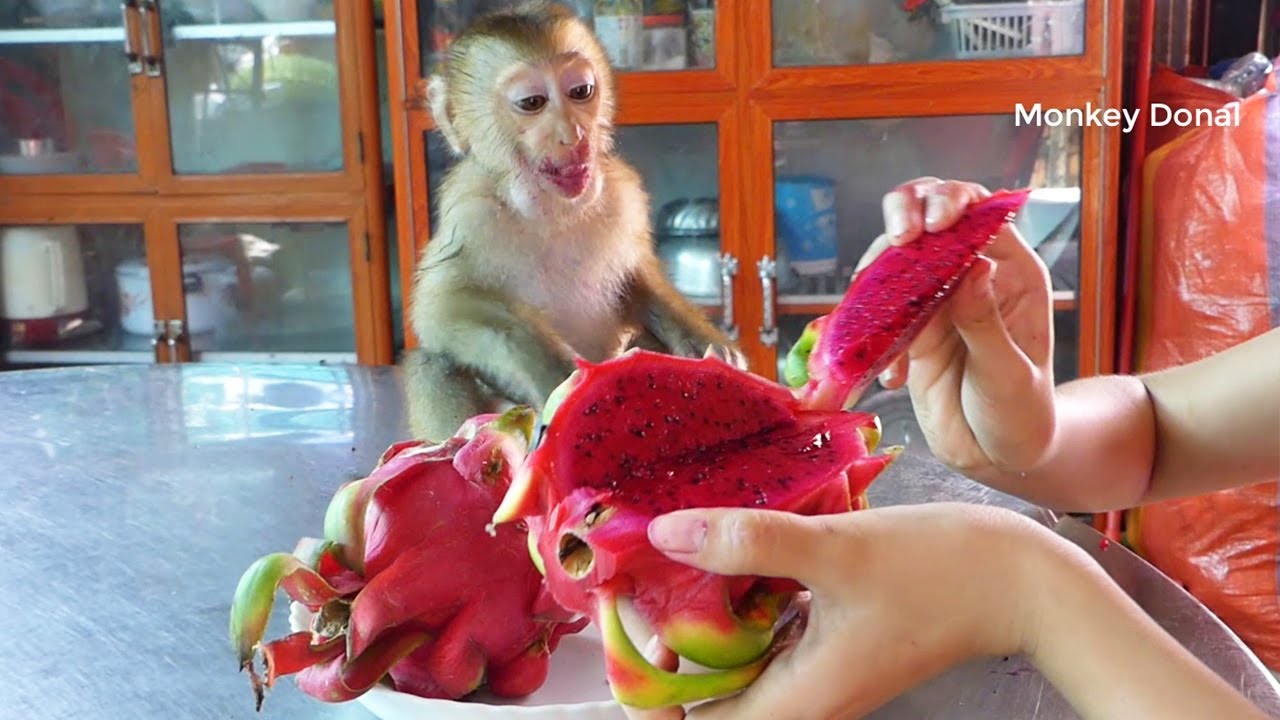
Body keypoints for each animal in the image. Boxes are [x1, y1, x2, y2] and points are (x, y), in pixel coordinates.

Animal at [402, 2, 744, 442]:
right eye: (532, 102)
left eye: (580, 92)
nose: (574, 133)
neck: (552, 211)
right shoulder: (470, 211)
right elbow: (441, 307)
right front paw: (554, 369)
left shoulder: (623, 194)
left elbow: (634, 278)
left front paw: (703, 341)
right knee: (434, 363)